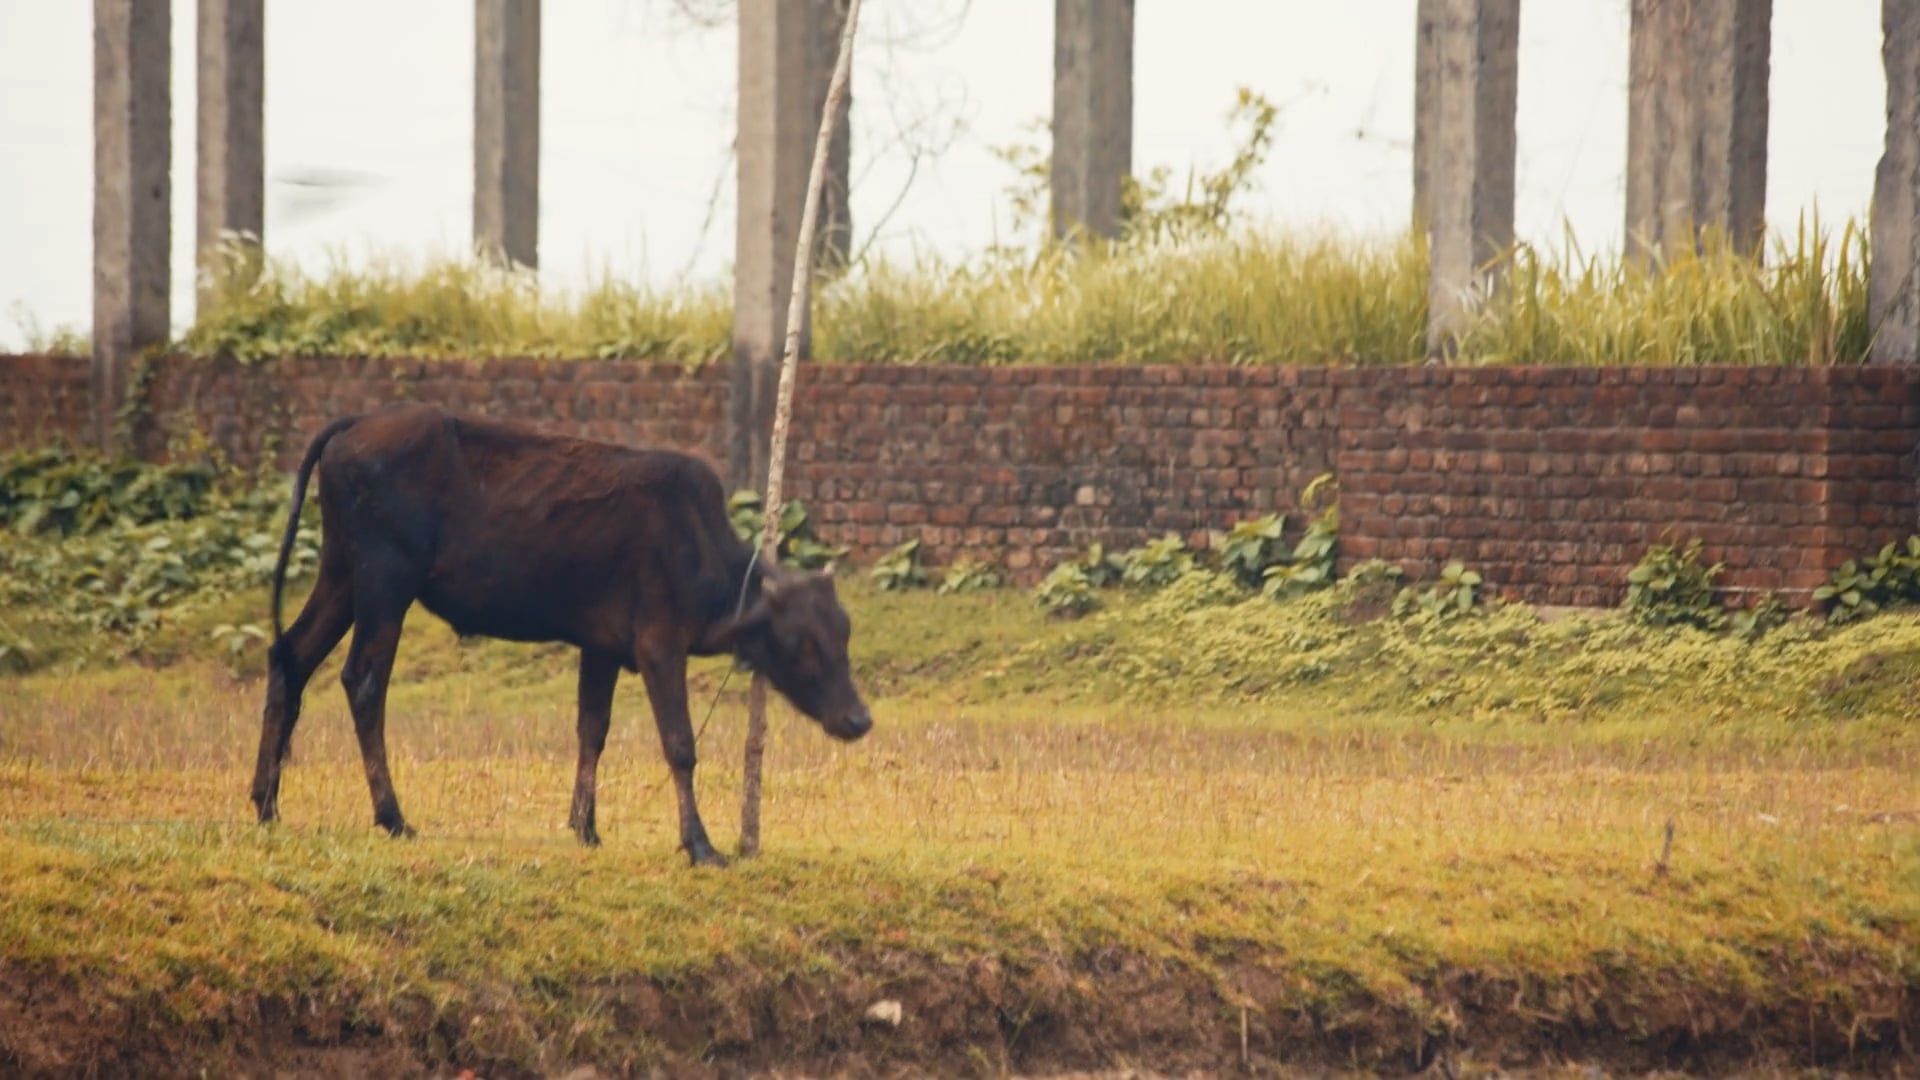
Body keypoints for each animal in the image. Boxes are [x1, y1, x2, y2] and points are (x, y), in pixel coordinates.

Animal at [249, 403, 871, 866]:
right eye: (806, 642)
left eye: (844, 634)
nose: (859, 719)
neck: (703, 552)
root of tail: (356, 423)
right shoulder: (658, 644)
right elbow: (680, 744)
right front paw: (700, 845)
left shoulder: (601, 647)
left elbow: (591, 731)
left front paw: (585, 827)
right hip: (384, 581)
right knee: (363, 681)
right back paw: (392, 816)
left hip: (341, 573)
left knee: (290, 657)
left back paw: (266, 802)